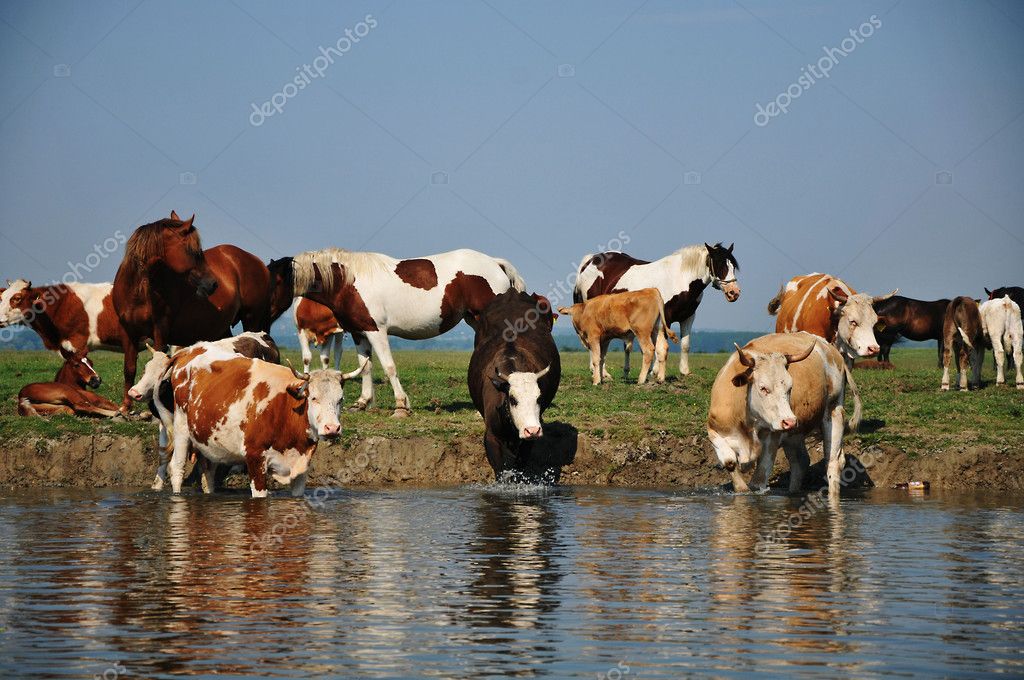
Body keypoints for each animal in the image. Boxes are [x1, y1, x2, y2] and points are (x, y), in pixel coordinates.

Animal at [111, 212, 277, 411]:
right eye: (194, 252)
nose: (213, 284)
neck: (140, 288)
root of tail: (258, 262)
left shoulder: (160, 328)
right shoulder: (128, 331)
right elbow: (129, 368)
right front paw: (125, 406)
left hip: (251, 318)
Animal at [271, 247, 526, 416]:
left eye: (275, 280)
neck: (348, 281)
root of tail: (495, 263)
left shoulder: (377, 331)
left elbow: (388, 366)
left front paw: (401, 405)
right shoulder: (359, 332)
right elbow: (366, 366)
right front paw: (362, 402)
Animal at [468, 289, 562, 479]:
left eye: (538, 398)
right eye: (513, 399)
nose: (532, 430)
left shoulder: (527, 444)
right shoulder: (492, 438)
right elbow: (501, 471)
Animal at [573, 242, 740, 378]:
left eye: (733, 266)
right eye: (720, 265)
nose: (734, 293)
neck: (680, 278)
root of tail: (590, 260)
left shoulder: (688, 317)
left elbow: (685, 344)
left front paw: (684, 372)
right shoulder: (665, 318)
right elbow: (661, 345)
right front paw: (656, 372)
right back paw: (601, 373)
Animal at [707, 332, 862, 497]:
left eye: (790, 387)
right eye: (763, 388)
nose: (790, 421)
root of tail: (831, 350)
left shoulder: (772, 438)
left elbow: (758, 481)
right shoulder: (714, 430)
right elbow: (730, 463)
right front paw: (741, 488)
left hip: (834, 411)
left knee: (833, 462)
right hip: (794, 435)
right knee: (800, 462)